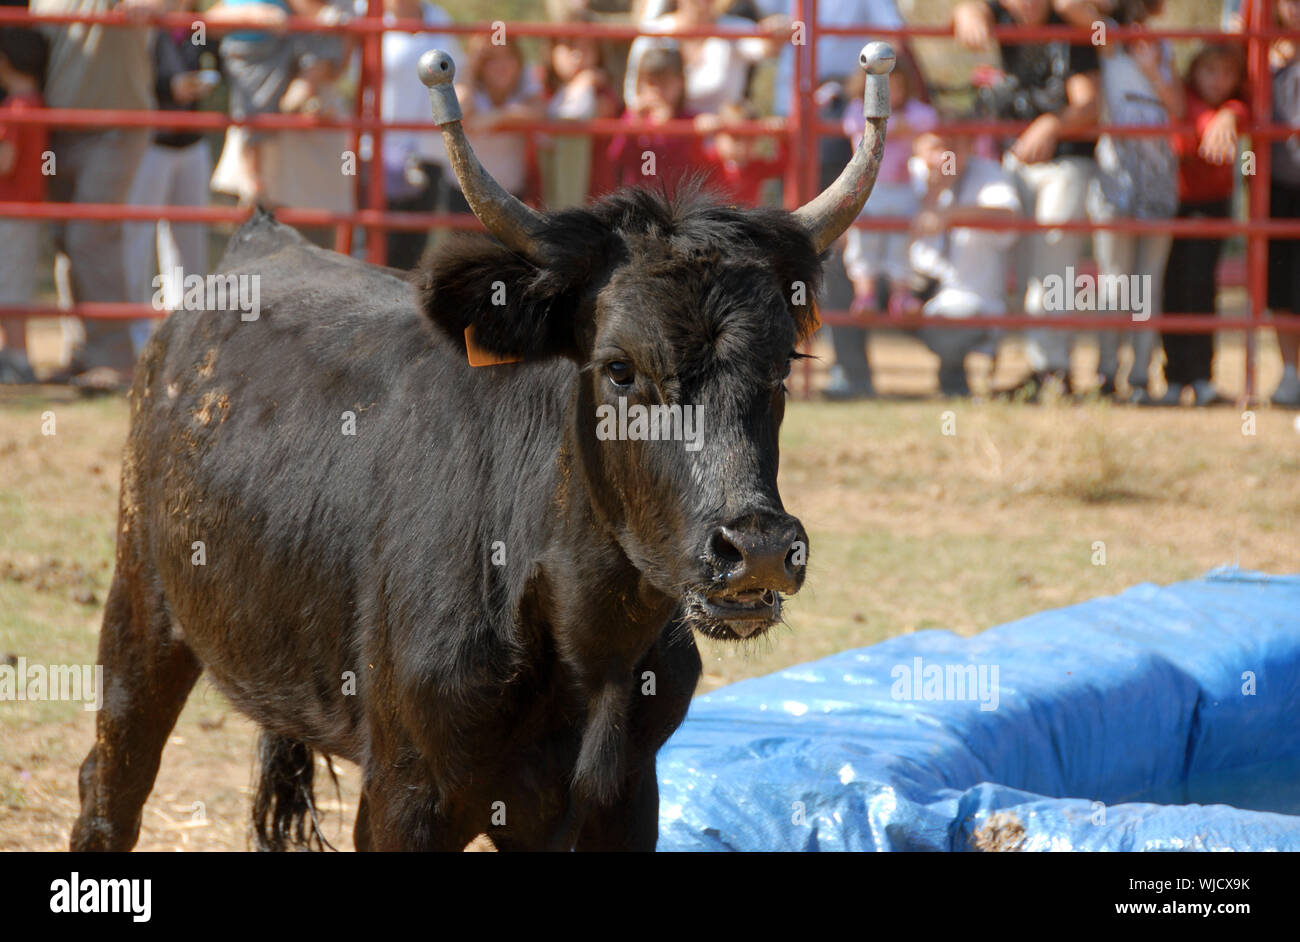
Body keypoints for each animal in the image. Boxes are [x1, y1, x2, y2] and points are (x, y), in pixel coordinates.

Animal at [70, 43, 895, 852]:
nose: (757, 549)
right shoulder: (406, 794)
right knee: (111, 786)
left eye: (782, 366)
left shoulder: (625, 796)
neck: (584, 641)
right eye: (620, 368)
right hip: (140, 606)